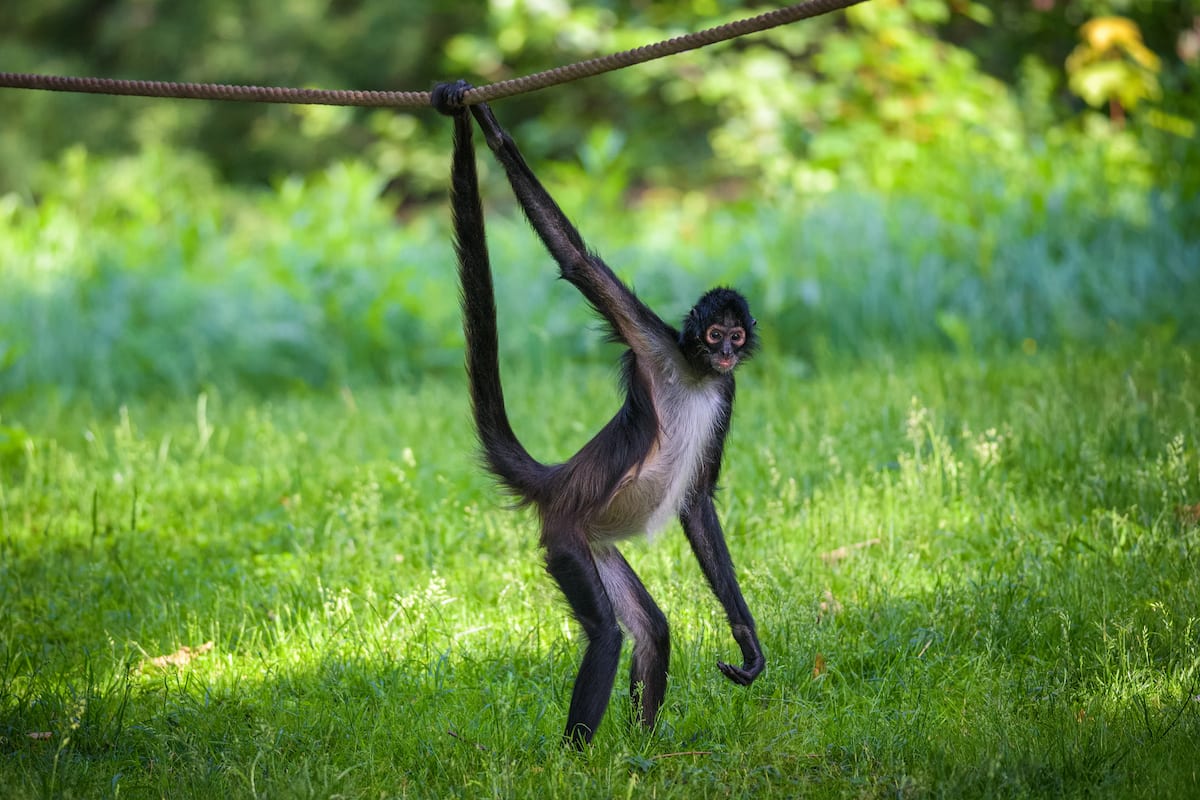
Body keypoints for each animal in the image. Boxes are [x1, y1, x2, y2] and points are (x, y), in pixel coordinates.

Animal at [432, 80, 764, 747]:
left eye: (737, 338)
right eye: (712, 333)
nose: (723, 352)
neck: (693, 373)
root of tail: (560, 480)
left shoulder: (728, 391)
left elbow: (697, 500)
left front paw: (747, 642)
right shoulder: (650, 340)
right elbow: (576, 261)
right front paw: (493, 130)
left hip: (594, 540)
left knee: (651, 629)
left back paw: (645, 751)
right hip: (566, 535)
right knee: (608, 634)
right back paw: (573, 759)